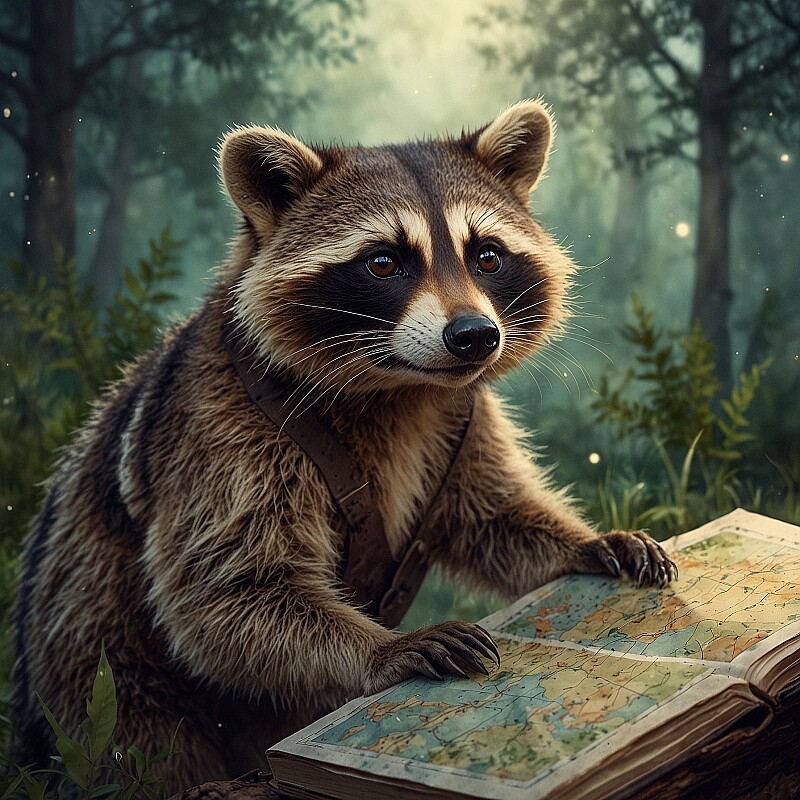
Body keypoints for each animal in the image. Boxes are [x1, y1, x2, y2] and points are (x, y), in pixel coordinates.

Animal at [12, 100, 676, 791]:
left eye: (488, 256)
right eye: (383, 262)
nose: (474, 336)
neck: (398, 385)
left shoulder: (460, 422)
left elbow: (491, 515)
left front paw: (583, 543)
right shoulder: (224, 431)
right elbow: (227, 588)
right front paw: (378, 649)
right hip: (98, 661)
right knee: (148, 739)